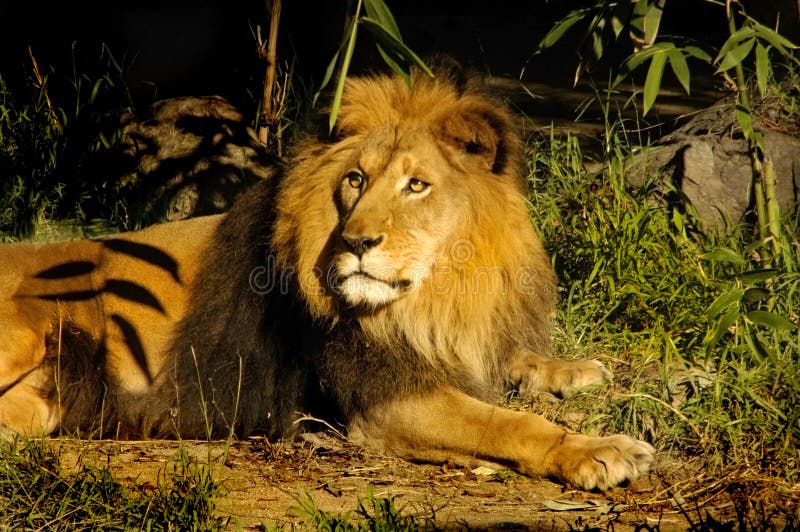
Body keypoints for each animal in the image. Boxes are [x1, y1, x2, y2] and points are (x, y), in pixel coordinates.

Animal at [0, 65, 654, 490]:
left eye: (417, 185)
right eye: (355, 180)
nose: (357, 242)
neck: (436, 295)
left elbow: (514, 364)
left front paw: (572, 370)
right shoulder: (387, 401)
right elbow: (507, 422)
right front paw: (599, 449)